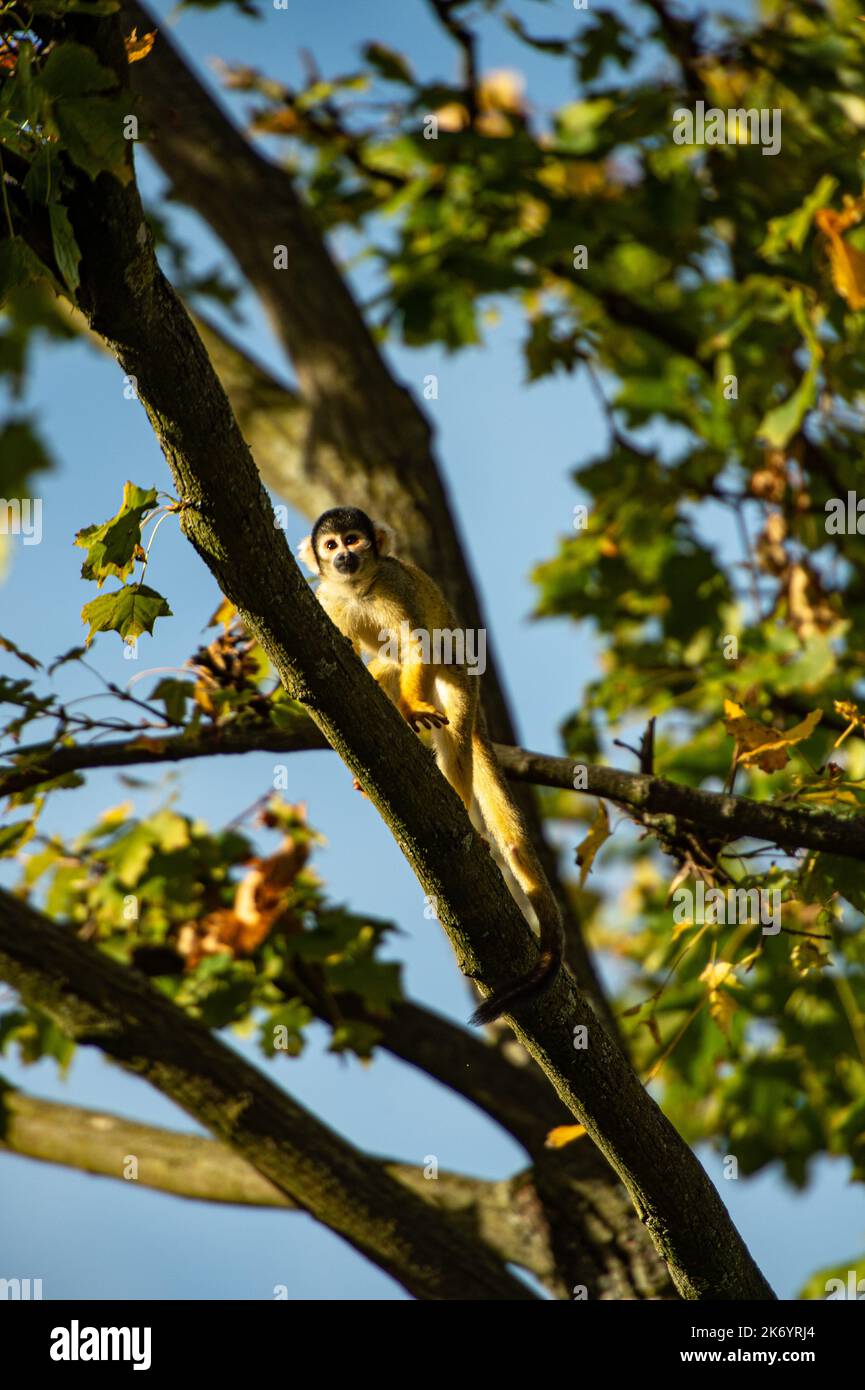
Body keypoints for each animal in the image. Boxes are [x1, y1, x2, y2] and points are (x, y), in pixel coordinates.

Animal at [297, 505, 564, 1025]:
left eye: (354, 540)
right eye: (331, 545)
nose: (344, 558)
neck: (358, 588)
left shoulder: (394, 585)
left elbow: (416, 640)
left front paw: (414, 705)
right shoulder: (327, 599)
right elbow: (358, 650)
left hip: (462, 676)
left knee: (453, 727)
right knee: (383, 665)